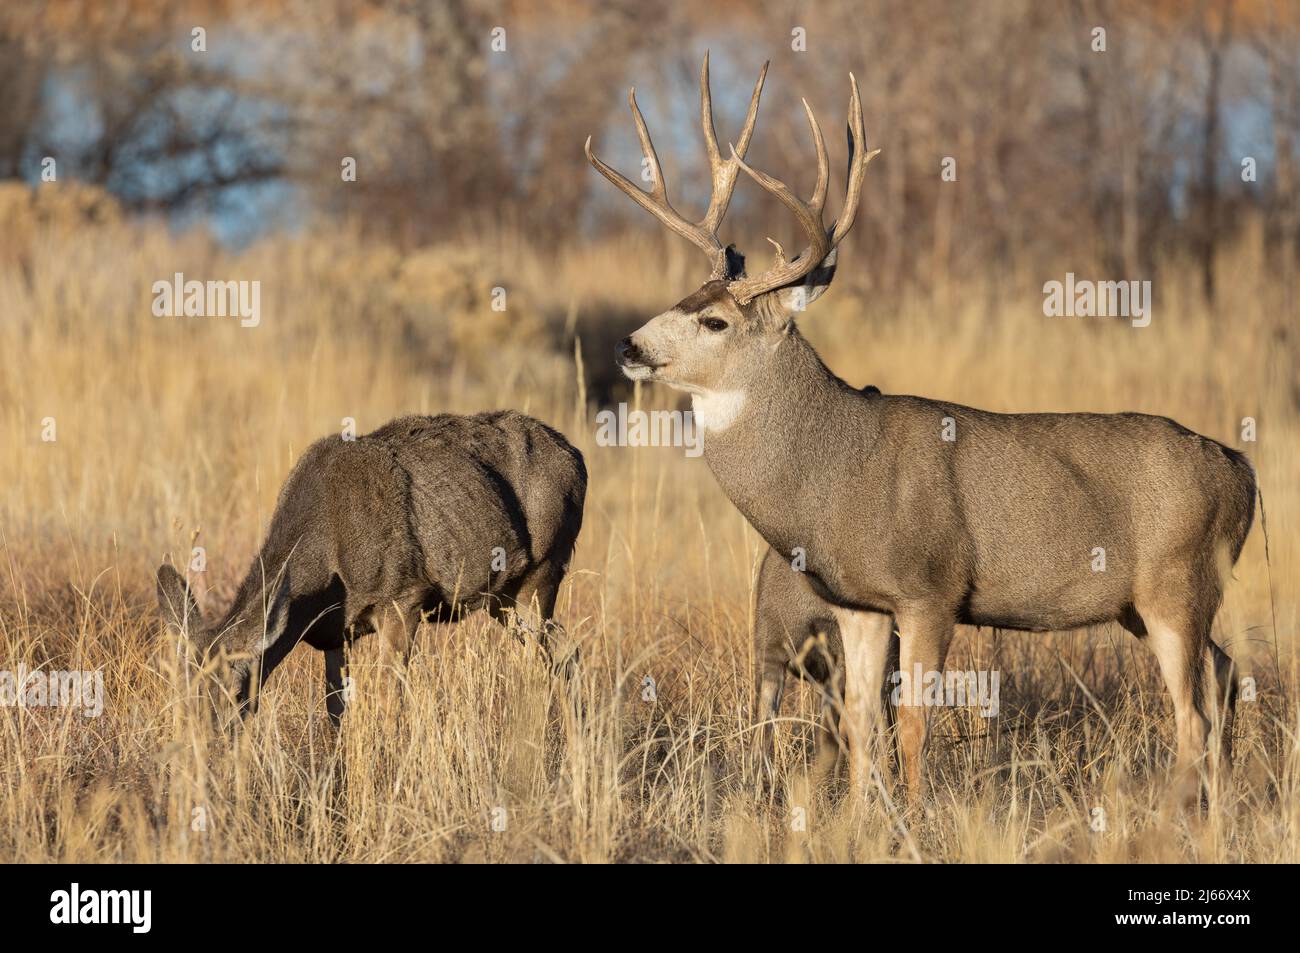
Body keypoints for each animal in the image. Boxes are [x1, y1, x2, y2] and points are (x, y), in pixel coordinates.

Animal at [156, 411, 586, 727]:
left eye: (235, 690)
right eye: (181, 691)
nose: (205, 740)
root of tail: (577, 460)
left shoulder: (404, 598)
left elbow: (392, 702)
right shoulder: (334, 633)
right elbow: (336, 712)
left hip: (543, 572)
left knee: (552, 659)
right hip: (504, 599)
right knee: (564, 653)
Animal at [587, 54, 1253, 805]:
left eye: (714, 320)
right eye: (685, 297)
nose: (627, 345)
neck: (834, 469)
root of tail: (1242, 471)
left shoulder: (931, 588)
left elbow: (909, 722)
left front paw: (914, 811)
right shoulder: (859, 602)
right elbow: (857, 720)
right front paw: (862, 814)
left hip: (1176, 582)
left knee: (1192, 713)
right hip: (1147, 603)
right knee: (1223, 675)